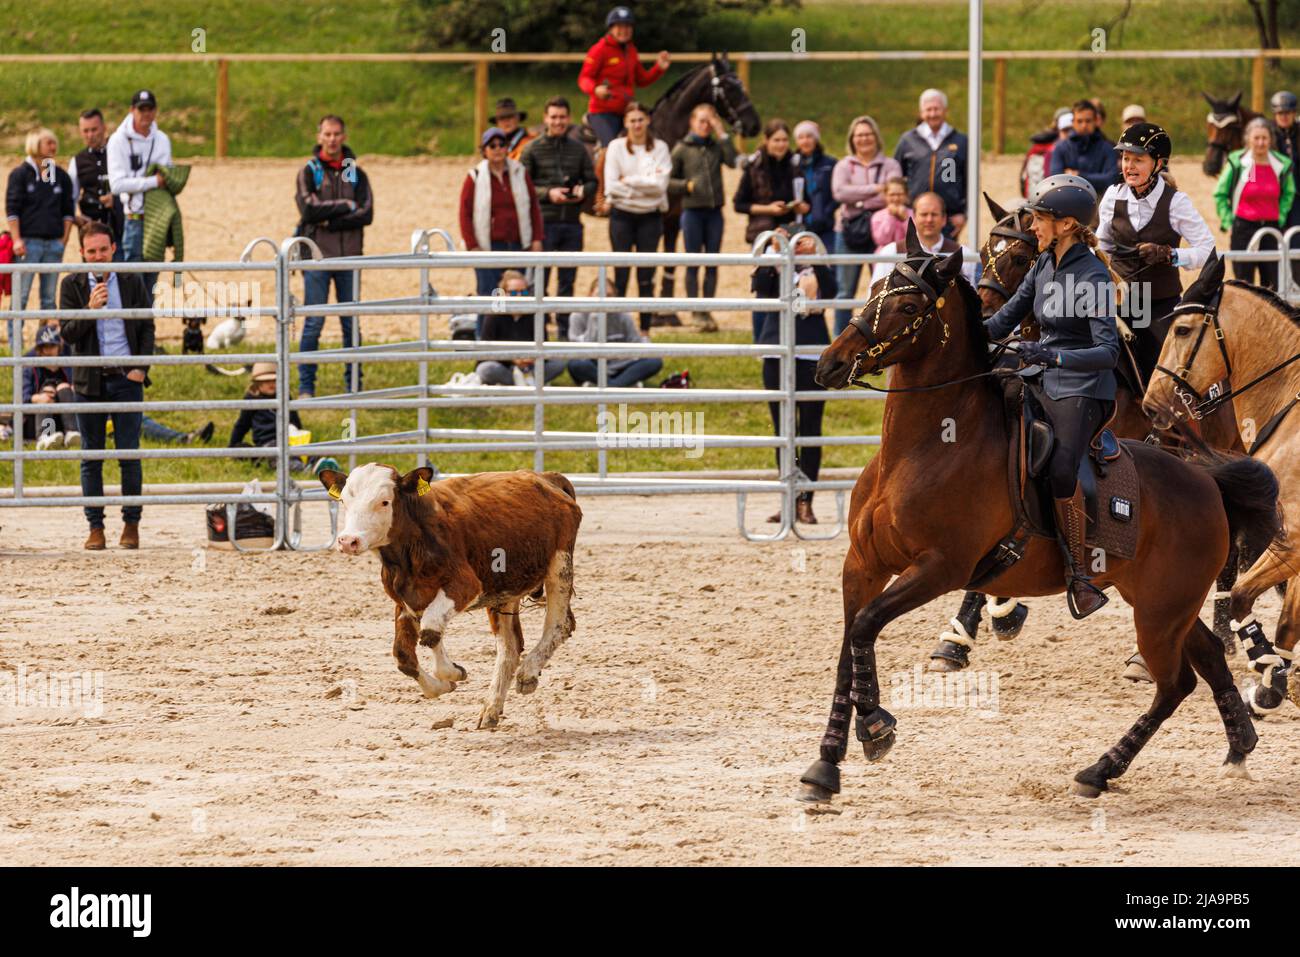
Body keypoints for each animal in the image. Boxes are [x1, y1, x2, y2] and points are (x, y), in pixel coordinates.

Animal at [926, 194, 1249, 675]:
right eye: (984, 251)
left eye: (1019, 257)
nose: (981, 317)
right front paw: (968, 630)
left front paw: (995, 615)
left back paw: (1215, 634)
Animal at [1145, 253, 1300, 715]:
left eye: (1181, 330)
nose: (1150, 404)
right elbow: (1287, 620)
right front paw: (1272, 682)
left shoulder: (1293, 536)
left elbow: (1243, 596)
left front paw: (1266, 670)